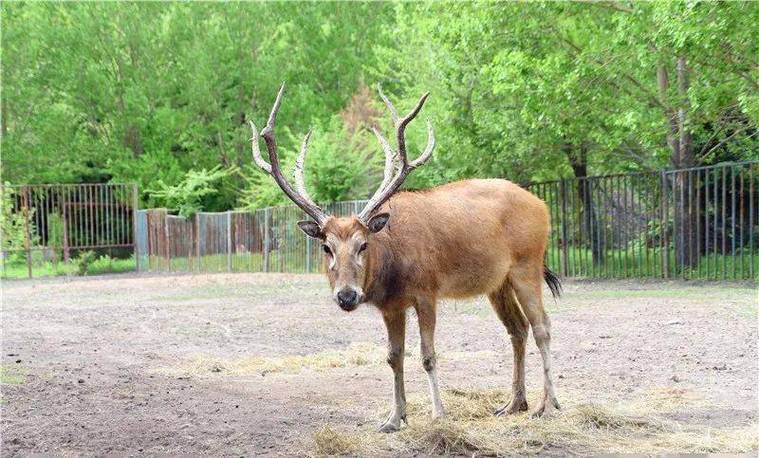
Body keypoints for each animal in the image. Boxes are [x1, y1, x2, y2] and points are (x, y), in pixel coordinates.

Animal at [248, 84, 562, 433]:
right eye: (326, 247)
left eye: (363, 244)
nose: (347, 295)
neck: (392, 268)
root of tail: (542, 206)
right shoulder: (391, 307)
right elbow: (393, 356)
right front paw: (394, 418)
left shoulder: (427, 292)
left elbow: (427, 355)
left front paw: (439, 414)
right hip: (498, 283)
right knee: (517, 329)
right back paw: (513, 404)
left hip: (527, 264)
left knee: (543, 326)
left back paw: (547, 406)